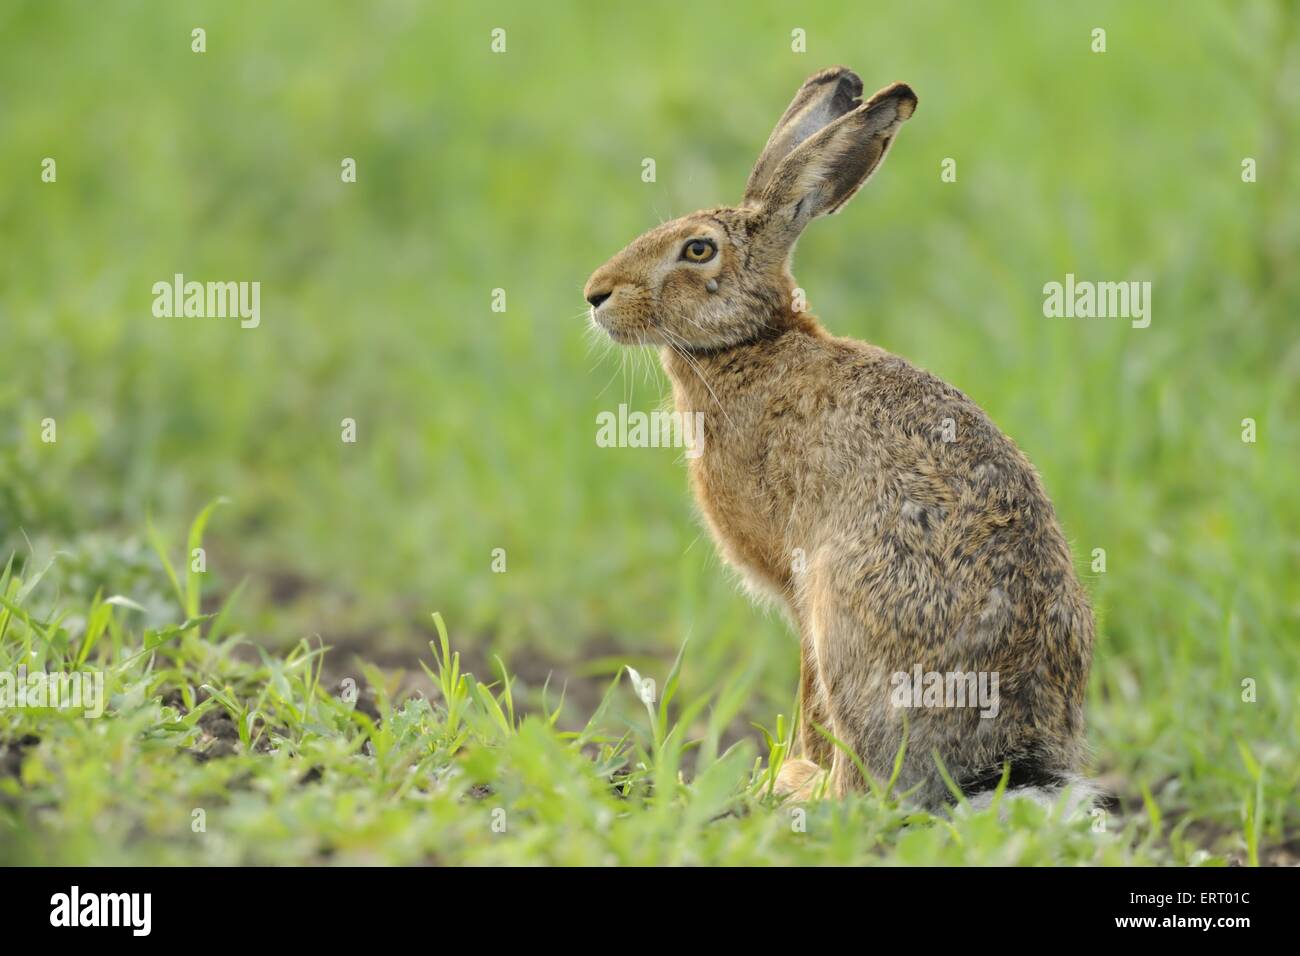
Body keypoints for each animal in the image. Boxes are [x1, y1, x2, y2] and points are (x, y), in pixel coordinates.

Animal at [583, 67, 1095, 812]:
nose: (596, 294)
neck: (752, 345)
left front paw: (790, 771)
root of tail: (997, 761)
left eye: (698, 249)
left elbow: (805, 691)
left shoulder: (799, 585)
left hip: (848, 619)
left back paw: (808, 792)